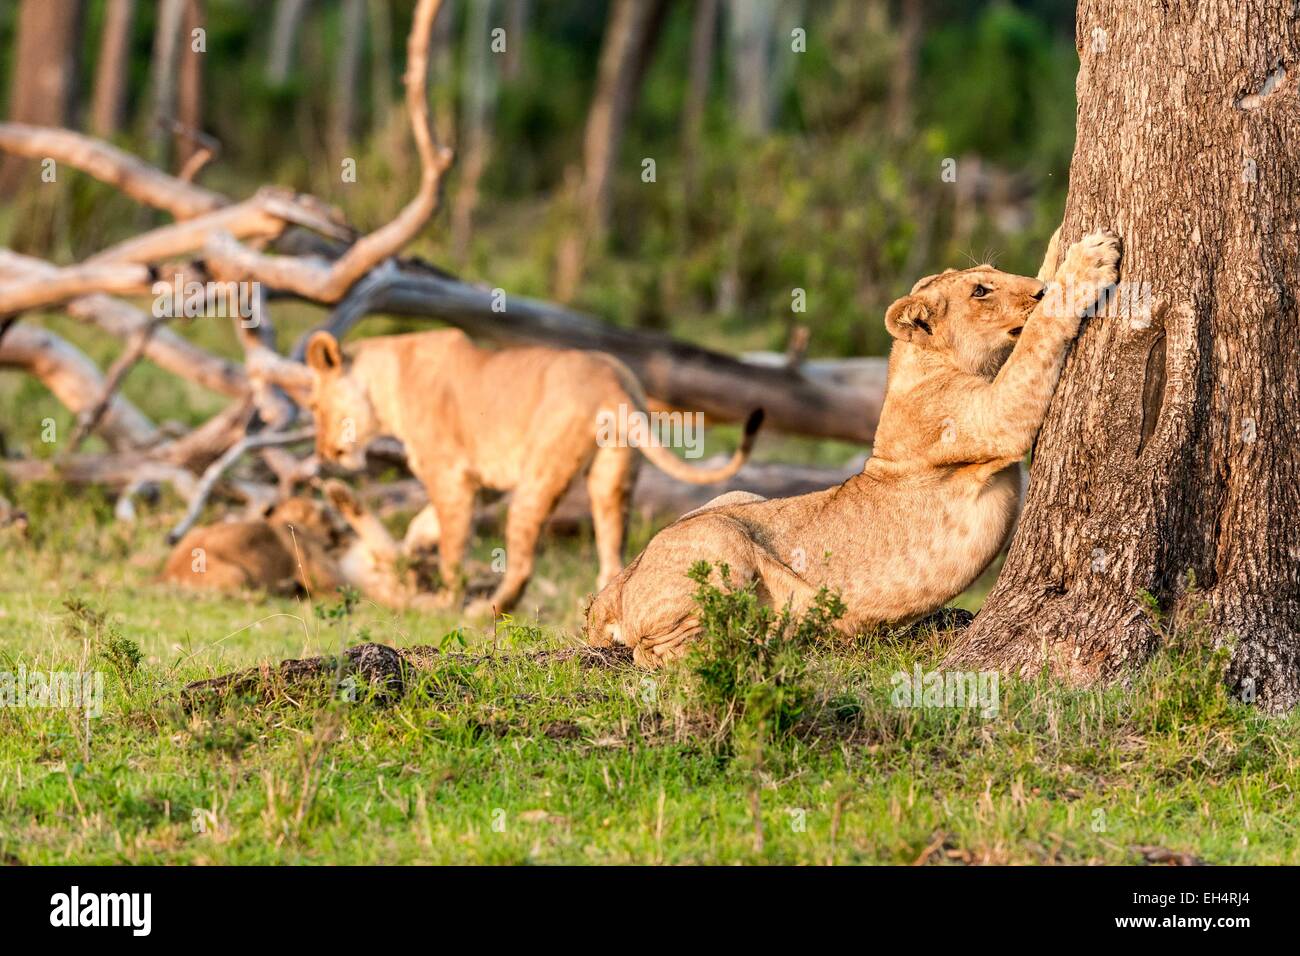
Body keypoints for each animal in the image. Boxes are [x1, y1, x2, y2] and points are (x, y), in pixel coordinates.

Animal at [303, 329, 763, 615]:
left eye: (314, 406)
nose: (322, 454)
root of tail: (611, 382)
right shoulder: (483, 482)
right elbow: (425, 523)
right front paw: (415, 548)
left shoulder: (451, 475)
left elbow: (453, 547)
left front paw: (443, 603)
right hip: (613, 474)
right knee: (611, 554)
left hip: (538, 476)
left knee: (522, 563)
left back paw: (481, 612)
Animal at [585, 230, 1122, 666]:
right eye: (980, 291)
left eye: (992, 275)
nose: (1035, 292)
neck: (923, 363)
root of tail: (614, 590)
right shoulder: (994, 416)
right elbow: (1037, 336)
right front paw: (1086, 264)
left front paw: (1057, 252)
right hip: (722, 540)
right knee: (661, 651)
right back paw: (762, 640)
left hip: (736, 499)